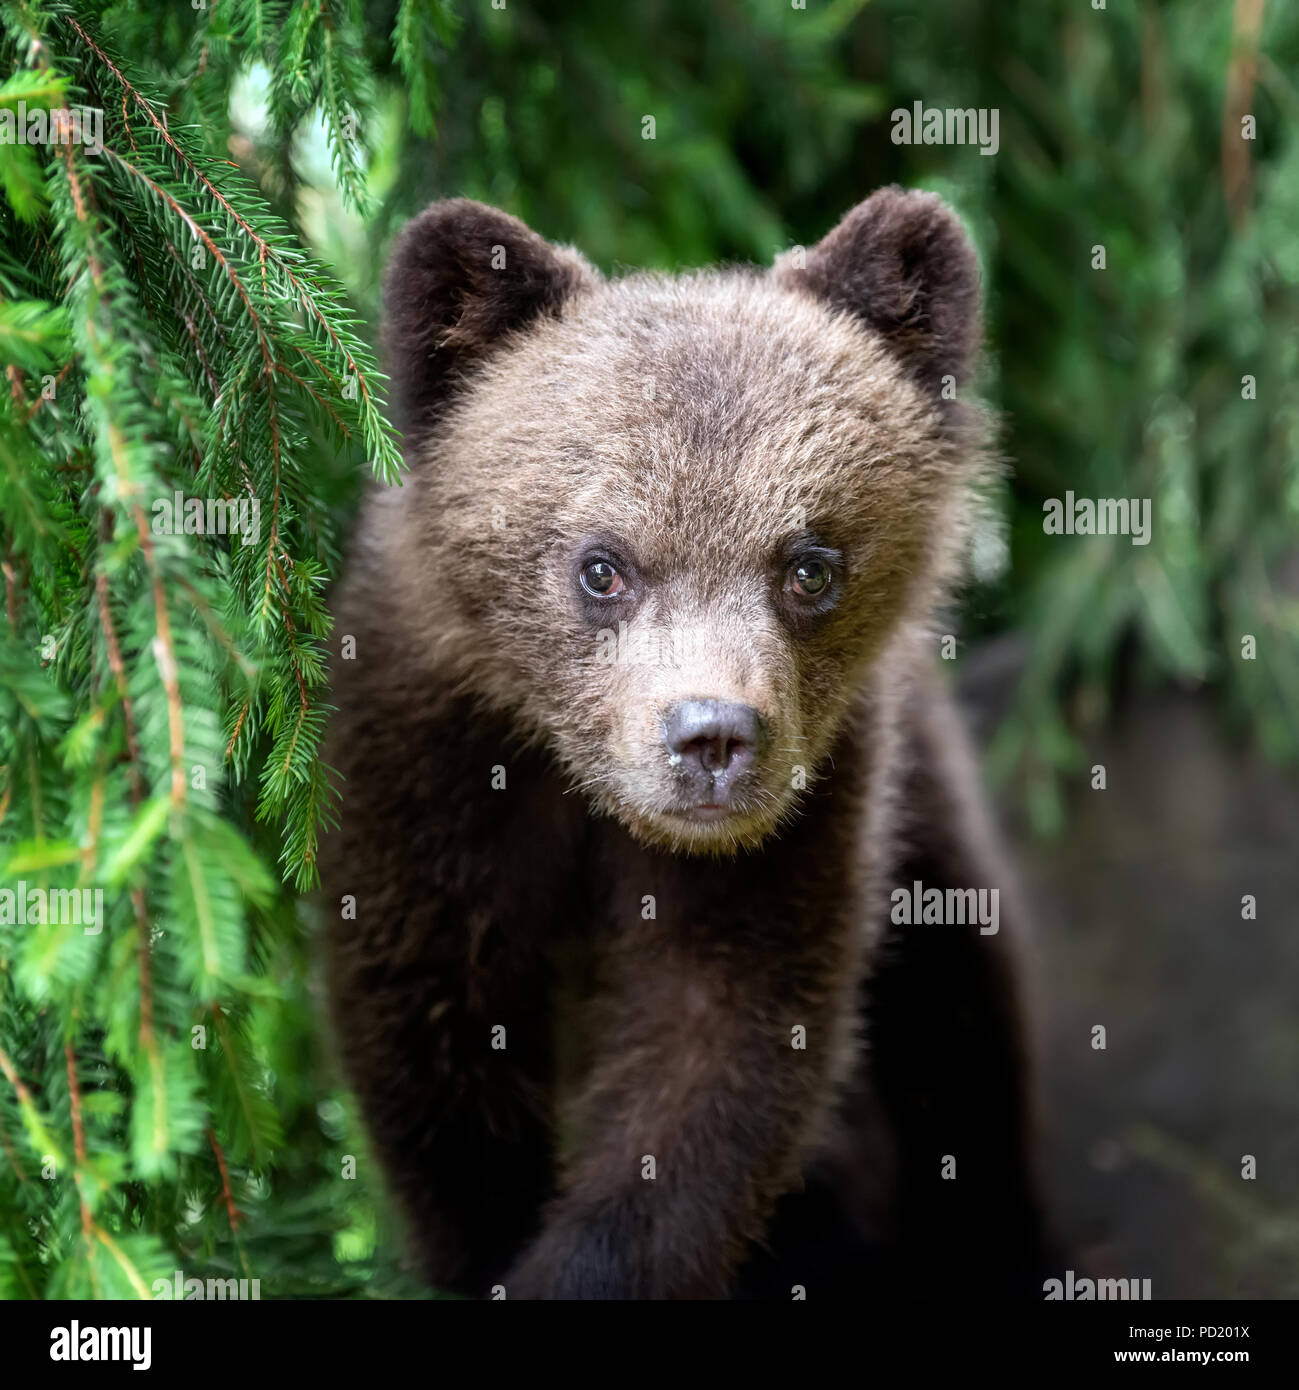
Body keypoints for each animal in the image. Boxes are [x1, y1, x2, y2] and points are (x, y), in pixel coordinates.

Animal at [322, 186, 1052, 1300]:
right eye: (601, 565)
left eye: (809, 565)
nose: (712, 736)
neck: (584, 792)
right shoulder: (428, 766)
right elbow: (437, 1038)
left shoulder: (807, 816)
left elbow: (721, 1046)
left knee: (961, 1013)